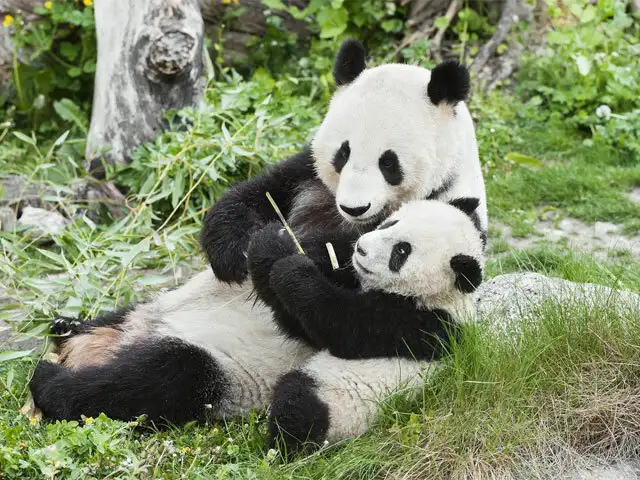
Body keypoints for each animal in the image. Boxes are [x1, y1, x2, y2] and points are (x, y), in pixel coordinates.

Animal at [246, 198, 485, 455]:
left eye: (401, 251)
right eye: (389, 223)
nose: (360, 248)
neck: (442, 296)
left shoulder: (420, 325)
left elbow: (339, 325)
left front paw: (292, 269)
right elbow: (297, 323)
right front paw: (271, 242)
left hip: (338, 402)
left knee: (299, 406)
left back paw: (284, 448)